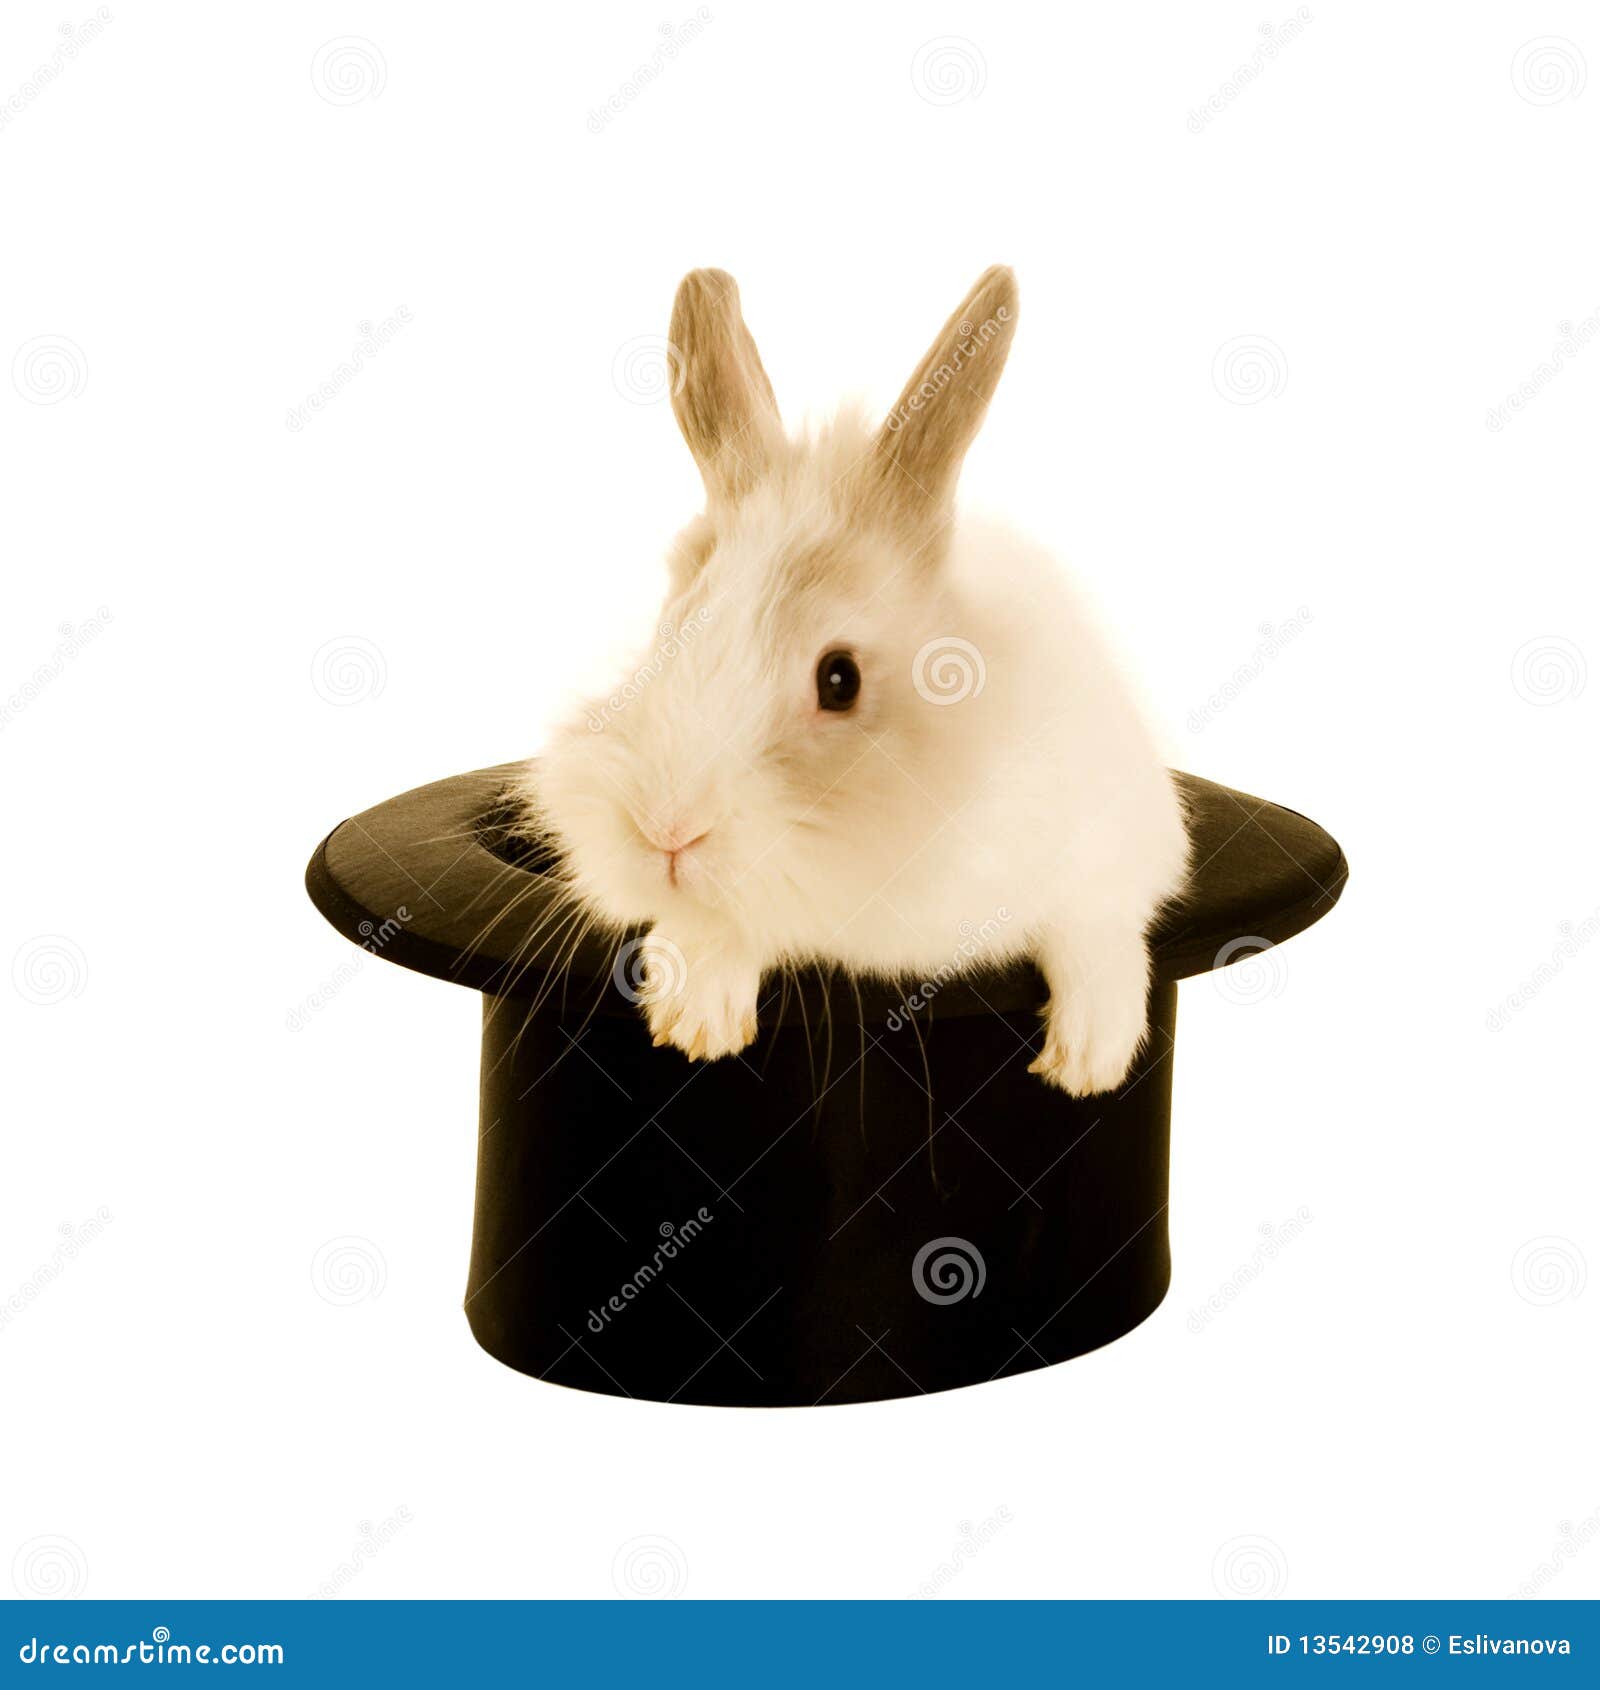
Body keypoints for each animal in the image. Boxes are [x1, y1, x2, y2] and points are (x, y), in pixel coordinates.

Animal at [513, 266, 1189, 1096]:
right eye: (669, 631)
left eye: (841, 679)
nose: (665, 830)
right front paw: (695, 1015)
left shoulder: (1115, 840)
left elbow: (1097, 927)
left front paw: (1090, 1061)